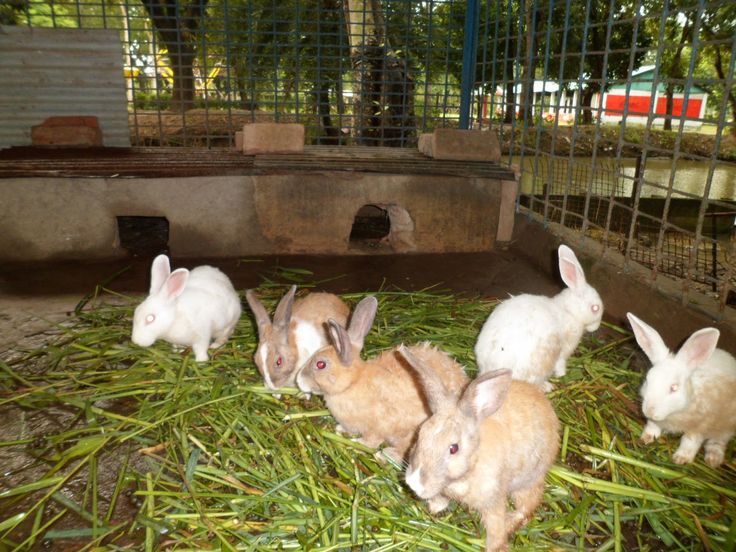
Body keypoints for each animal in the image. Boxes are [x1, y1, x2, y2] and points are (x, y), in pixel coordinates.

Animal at [296, 298, 468, 462]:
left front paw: (357, 444)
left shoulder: (377, 428)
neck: (352, 383)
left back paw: (384, 456)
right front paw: (340, 429)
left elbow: (371, 441)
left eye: (320, 364)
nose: (299, 380)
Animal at [400, 348, 560, 548]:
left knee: (528, 506)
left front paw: (496, 546)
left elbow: (495, 527)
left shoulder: (493, 499)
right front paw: (436, 507)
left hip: (528, 480)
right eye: (420, 434)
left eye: (454, 448)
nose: (414, 483)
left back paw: (510, 522)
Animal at [474, 244, 600, 390]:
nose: (596, 327)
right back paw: (548, 386)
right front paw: (562, 374)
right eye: (595, 308)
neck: (569, 311)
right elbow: (560, 364)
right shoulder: (564, 350)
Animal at [624, 312, 736, 468]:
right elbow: (652, 427)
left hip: (726, 424)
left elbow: (689, 442)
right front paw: (646, 438)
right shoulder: (656, 421)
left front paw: (680, 459)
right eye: (647, 379)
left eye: (674, 388)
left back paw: (713, 459)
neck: (674, 414)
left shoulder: (699, 427)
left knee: (718, 441)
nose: (649, 411)